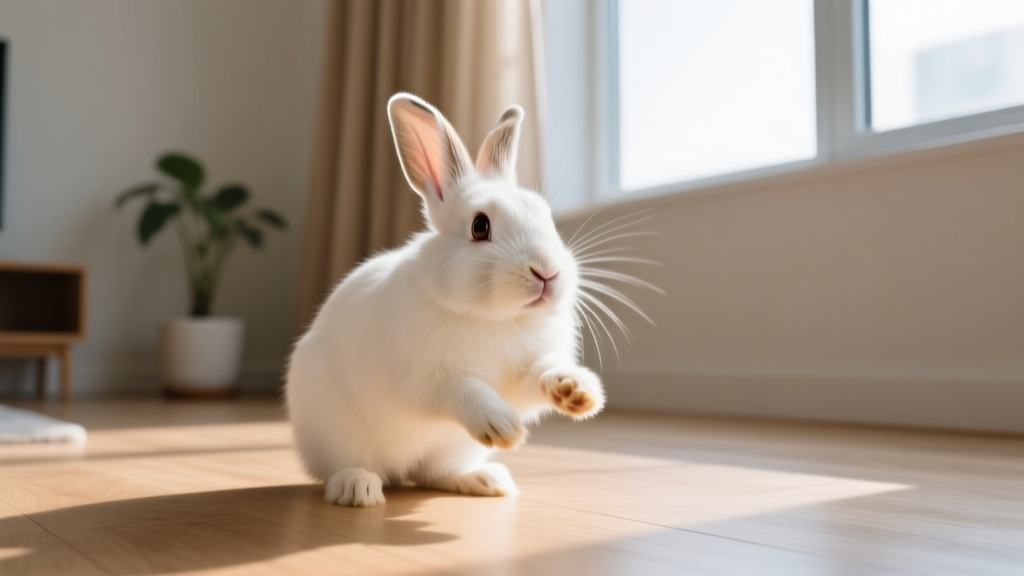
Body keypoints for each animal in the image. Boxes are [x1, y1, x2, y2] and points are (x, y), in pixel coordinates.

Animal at [286, 93, 605, 507]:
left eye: (547, 218)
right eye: (480, 226)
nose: (547, 271)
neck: (497, 319)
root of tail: (398, 472)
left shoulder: (524, 372)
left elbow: (540, 374)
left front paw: (576, 392)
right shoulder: (423, 379)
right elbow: (461, 390)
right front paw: (502, 425)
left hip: (453, 449)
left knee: (433, 475)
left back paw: (485, 480)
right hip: (335, 430)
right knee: (344, 468)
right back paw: (358, 489)